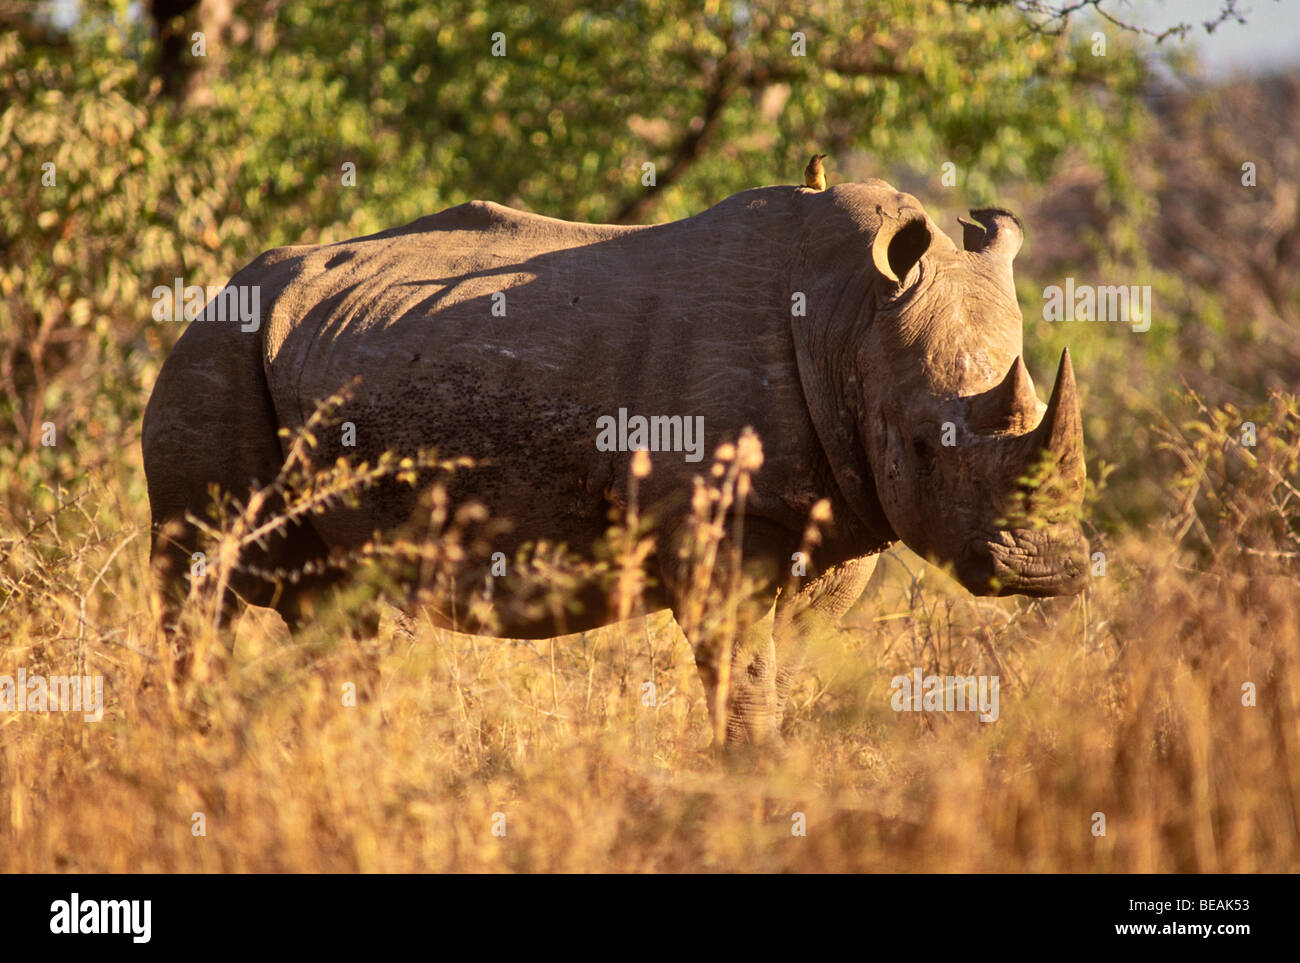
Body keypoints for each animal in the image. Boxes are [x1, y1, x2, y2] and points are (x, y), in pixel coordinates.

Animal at [143, 179, 1088, 744]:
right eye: (928, 446)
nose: (1045, 570)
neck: (850, 319)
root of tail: (213, 296)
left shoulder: (840, 510)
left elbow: (778, 661)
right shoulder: (717, 514)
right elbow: (742, 667)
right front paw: (752, 777)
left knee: (343, 606)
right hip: (214, 349)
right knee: (201, 581)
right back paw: (193, 740)